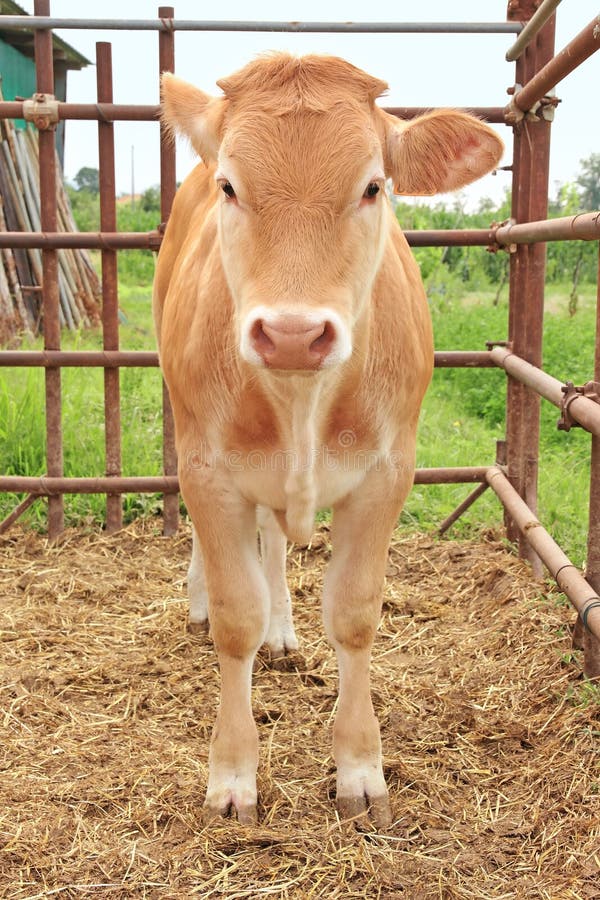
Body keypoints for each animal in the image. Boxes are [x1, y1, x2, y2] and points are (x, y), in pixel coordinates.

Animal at [153, 53, 503, 827]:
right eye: (231, 184)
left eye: (372, 186)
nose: (291, 333)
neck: (301, 402)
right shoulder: (209, 468)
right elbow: (235, 617)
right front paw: (233, 774)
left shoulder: (387, 474)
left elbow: (354, 615)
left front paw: (361, 768)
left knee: (275, 545)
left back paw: (284, 632)